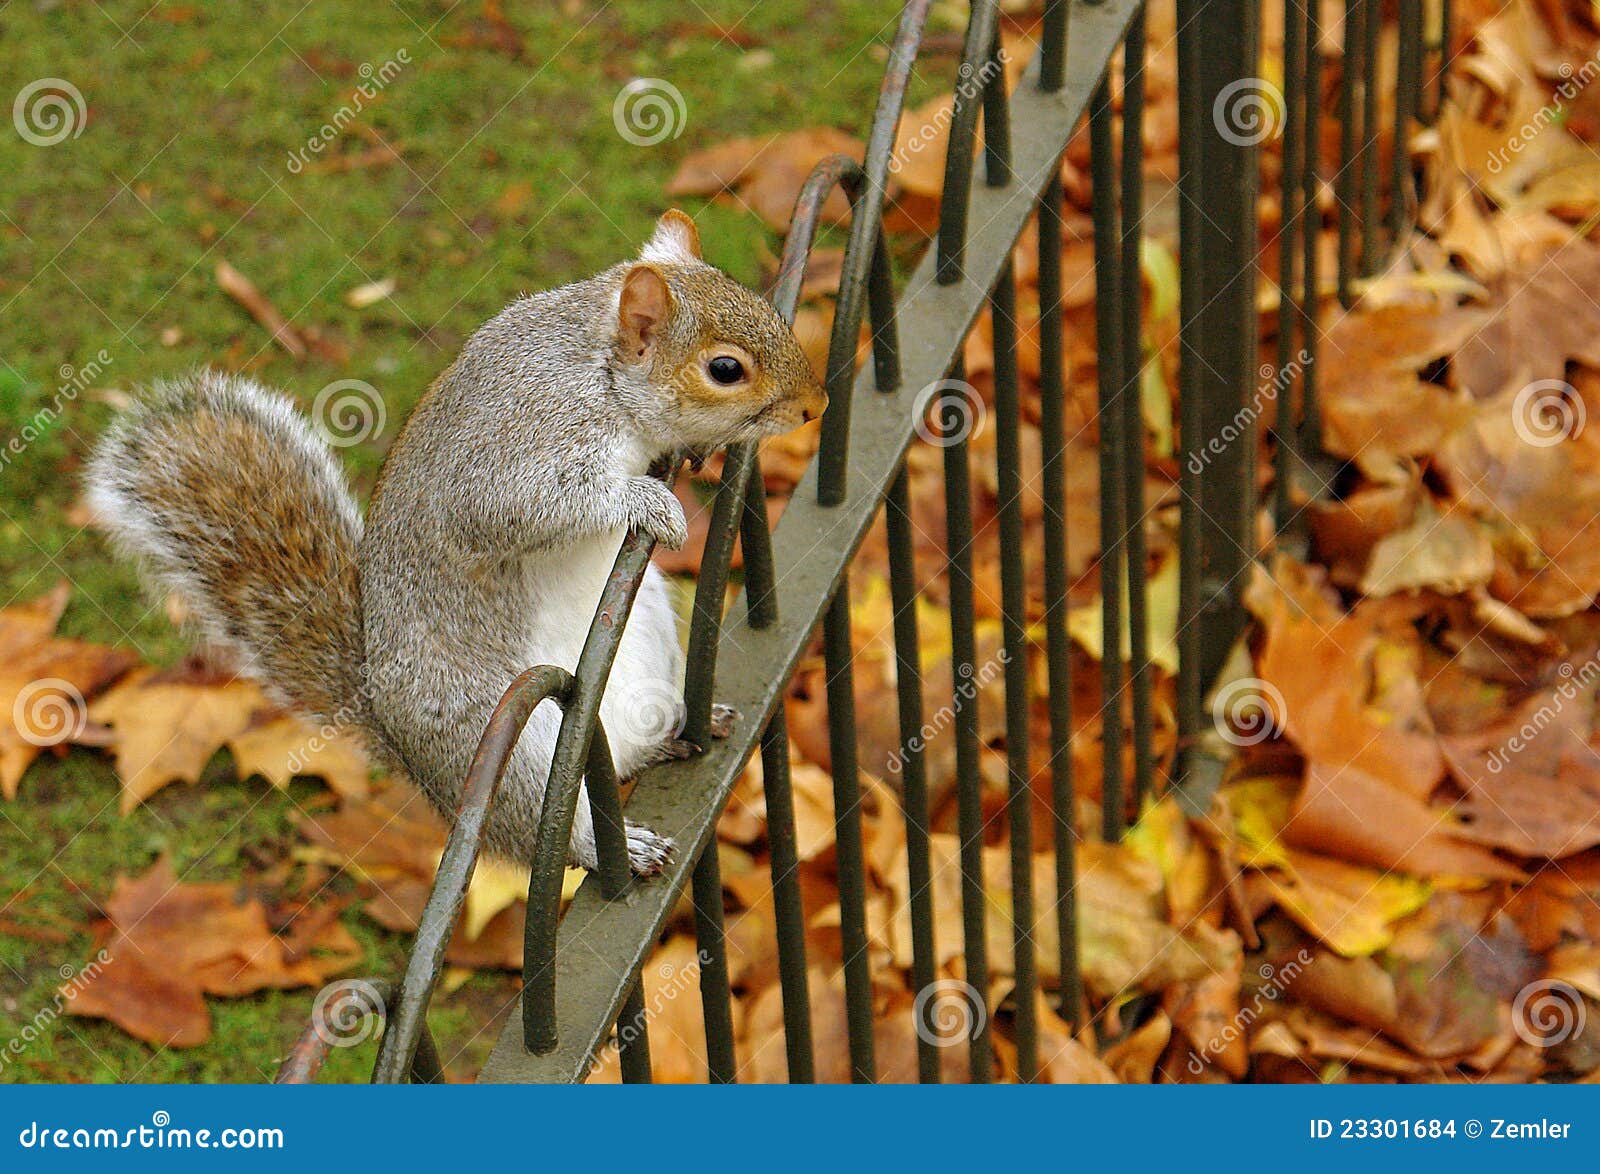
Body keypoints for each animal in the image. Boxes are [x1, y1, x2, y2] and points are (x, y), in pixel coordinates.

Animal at [86, 210, 826, 876]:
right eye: (725, 369)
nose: (815, 404)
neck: (599, 373)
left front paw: (692, 452)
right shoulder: (514, 444)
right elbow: (518, 509)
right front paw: (646, 501)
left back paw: (679, 731)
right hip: (498, 745)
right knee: (550, 837)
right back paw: (613, 848)